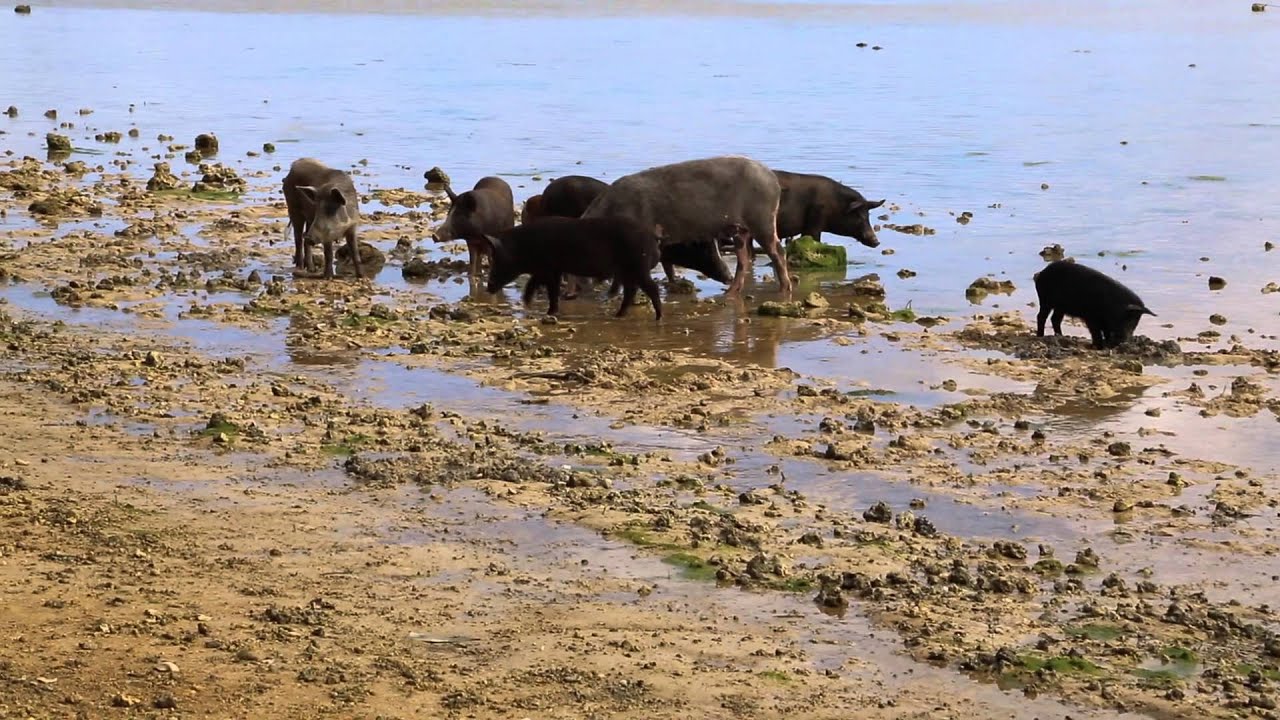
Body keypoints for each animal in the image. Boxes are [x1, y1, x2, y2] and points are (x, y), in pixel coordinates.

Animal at [484, 216, 662, 320]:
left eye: (497, 260)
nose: (489, 287)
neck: (522, 247)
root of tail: (652, 236)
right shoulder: (551, 269)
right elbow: (538, 283)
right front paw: (527, 303)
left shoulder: (548, 268)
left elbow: (550, 289)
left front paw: (547, 311)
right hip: (628, 270)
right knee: (631, 290)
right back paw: (619, 315)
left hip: (638, 266)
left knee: (651, 288)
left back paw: (658, 317)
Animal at [581, 156, 789, 294]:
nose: (575, 291)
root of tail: (773, 180)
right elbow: (667, 265)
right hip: (740, 229)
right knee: (744, 258)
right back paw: (730, 292)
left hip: (763, 220)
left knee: (778, 251)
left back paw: (784, 289)